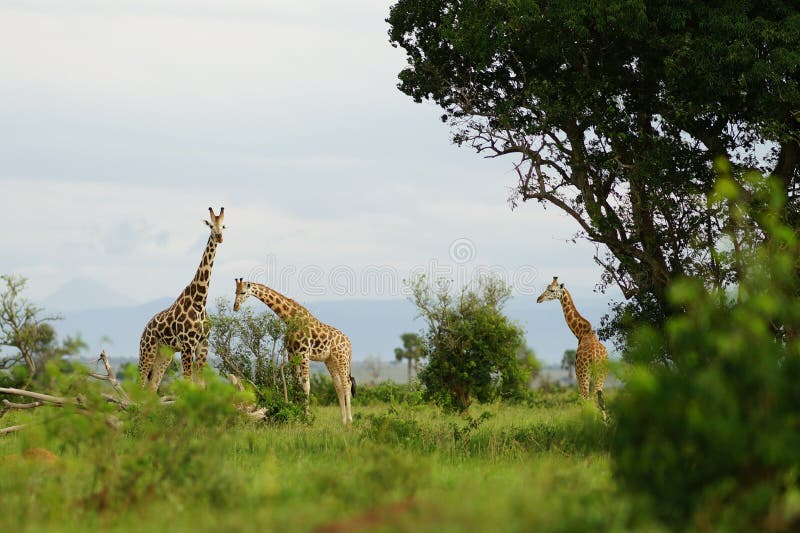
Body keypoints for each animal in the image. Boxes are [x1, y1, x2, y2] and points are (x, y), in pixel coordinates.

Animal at [138, 207, 226, 390]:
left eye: (223, 226)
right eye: (210, 226)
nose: (220, 237)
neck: (200, 300)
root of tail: (145, 329)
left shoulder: (203, 344)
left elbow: (200, 385)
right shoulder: (187, 345)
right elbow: (188, 382)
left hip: (165, 355)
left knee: (152, 387)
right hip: (148, 350)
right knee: (139, 382)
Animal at [233, 279, 355, 425]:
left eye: (243, 292)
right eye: (235, 291)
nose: (235, 307)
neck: (289, 318)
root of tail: (349, 343)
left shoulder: (304, 354)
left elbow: (306, 386)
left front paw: (306, 417)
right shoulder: (292, 355)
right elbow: (295, 385)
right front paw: (296, 413)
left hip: (341, 357)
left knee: (347, 383)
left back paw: (350, 420)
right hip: (330, 360)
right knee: (338, 386)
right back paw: (342, 421)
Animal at [536, 276, 608, 420]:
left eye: (552, 290)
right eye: (547, 287)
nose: (539, 299)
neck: (581, 332)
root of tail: (595, 356)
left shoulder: (577, 373)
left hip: (582, 374)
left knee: (588, 400)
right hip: (601, 375)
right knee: (600, 402)